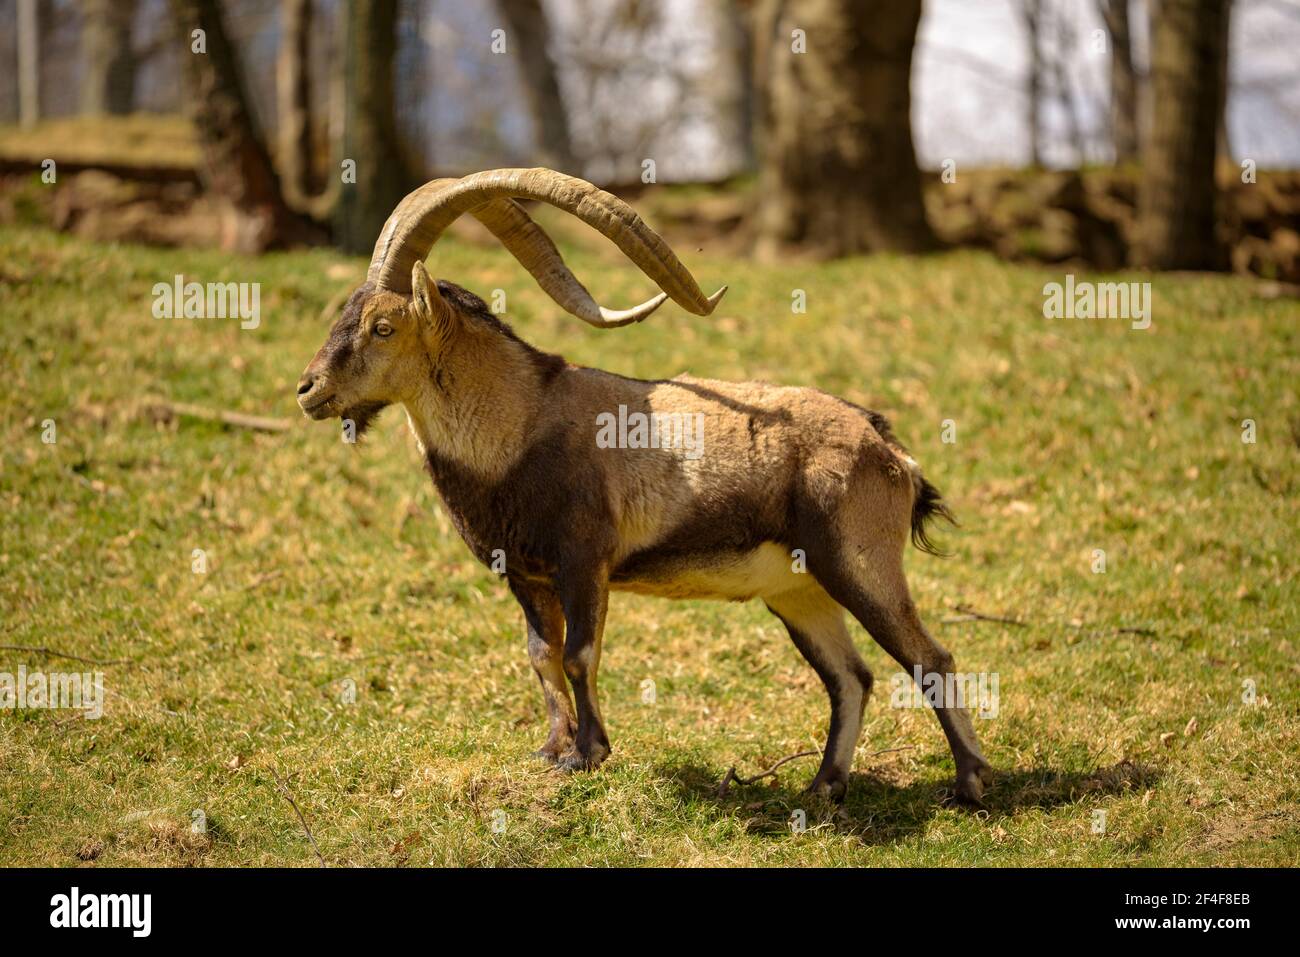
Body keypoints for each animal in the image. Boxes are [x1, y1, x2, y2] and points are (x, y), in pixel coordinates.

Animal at [296, 169, 993, 804]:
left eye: (383, 326)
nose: (308, 390)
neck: (519, 423)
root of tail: (887, 446)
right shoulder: (525, 573)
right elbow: (540, 653)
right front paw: (550, 751)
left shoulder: (585, 559)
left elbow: (577, 653)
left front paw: (588, 755)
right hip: (799, 591)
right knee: (852, 677)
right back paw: (823, 789)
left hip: (859, 563)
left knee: (930, 657)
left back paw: (970, 785)